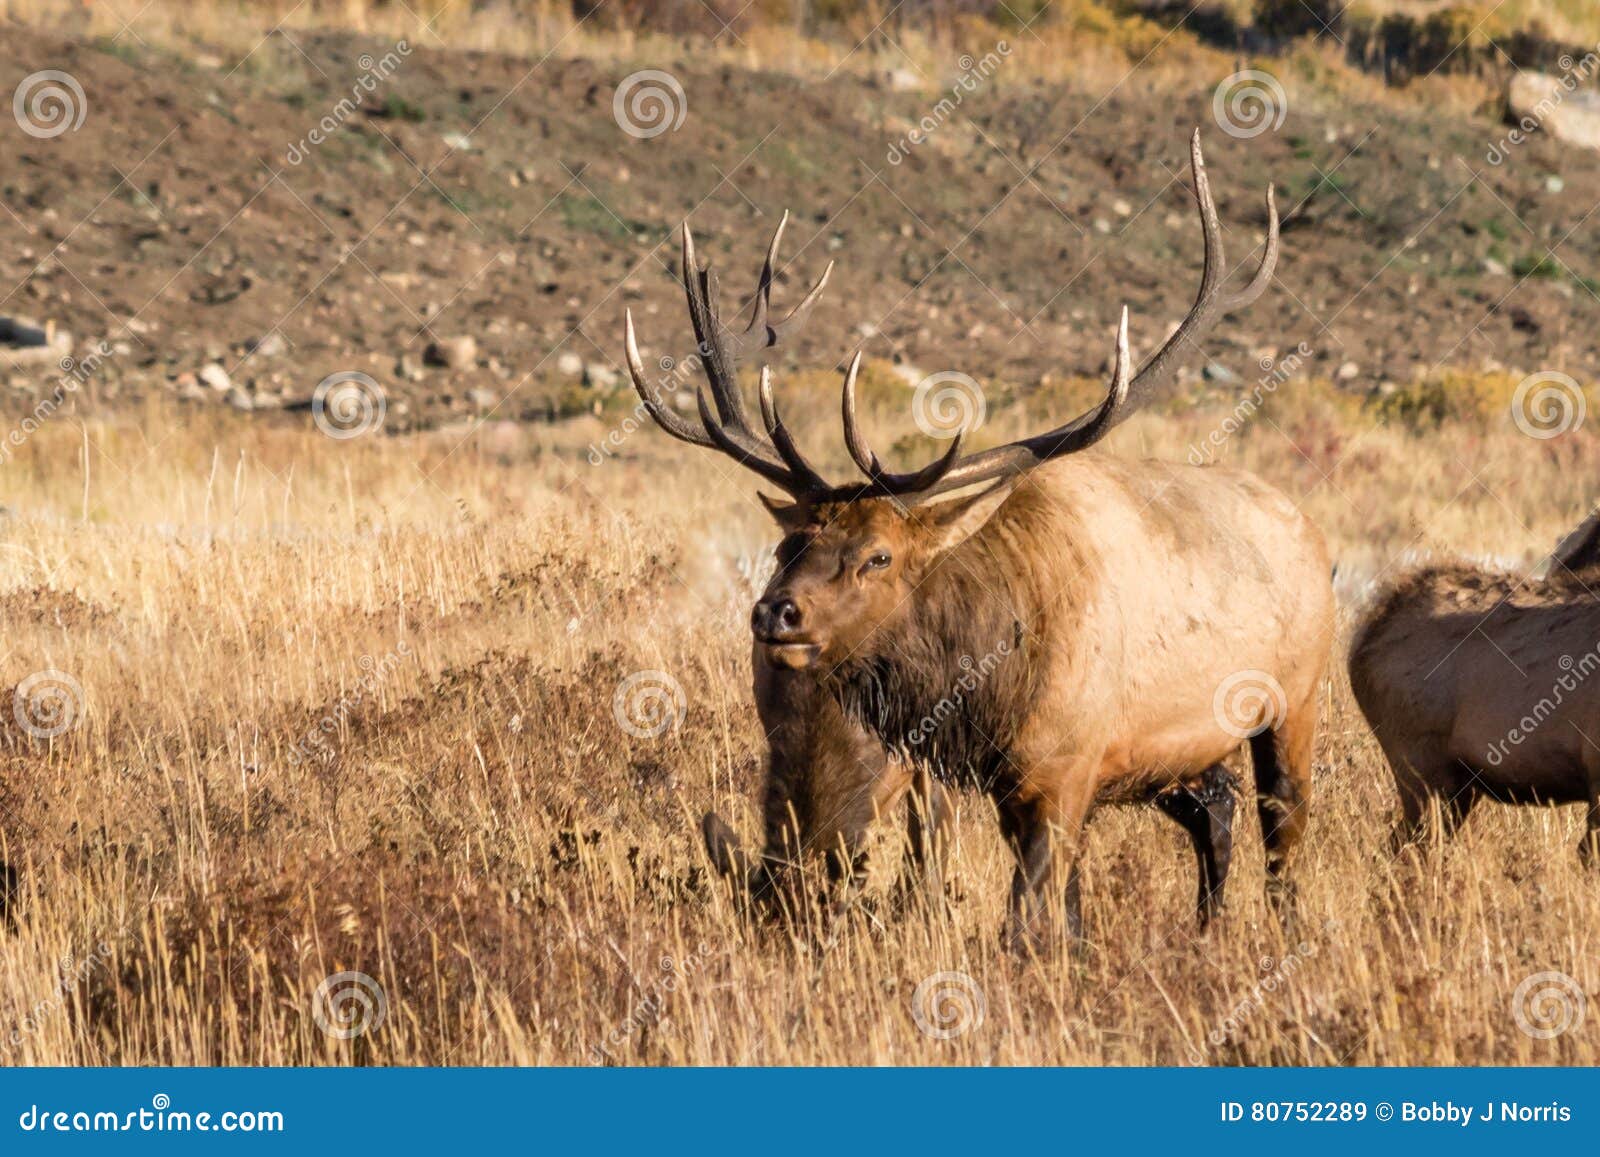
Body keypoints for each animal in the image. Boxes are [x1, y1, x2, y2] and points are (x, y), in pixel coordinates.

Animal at [625, 131, 1334, 949]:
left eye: (880, 556)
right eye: (786, 546)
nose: (775, 612)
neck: (989, 677)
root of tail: (1313, 533)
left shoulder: (1063, 768)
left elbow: (1023, 922)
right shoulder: (987, 776)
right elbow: (1046, 906)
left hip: (1293, 700)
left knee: (1283, 830)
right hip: (1176, 749)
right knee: (1215, 811)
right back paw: (1207, 930)